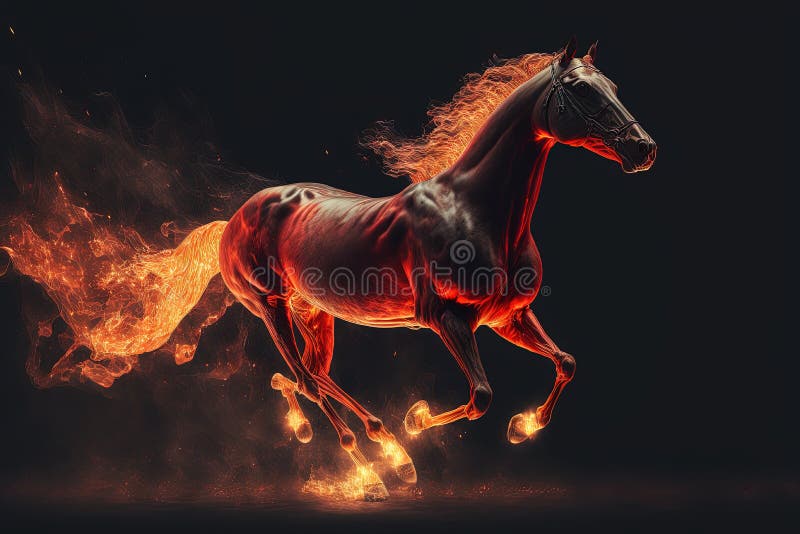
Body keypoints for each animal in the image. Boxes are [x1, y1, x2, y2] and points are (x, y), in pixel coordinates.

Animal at [216, 37, 656, 499]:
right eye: (581, 88)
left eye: (613, 86)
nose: (644, 148)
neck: (472, 211)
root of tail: (230, 223)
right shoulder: (446, 316)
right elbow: (481, 396)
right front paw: (417, 418)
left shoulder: (508, 316)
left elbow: (566, 363)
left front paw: (522, 426)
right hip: (270, 306)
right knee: (307, 381)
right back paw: (375, 473)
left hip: (314, 312)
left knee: (311, 374)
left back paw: (389, 449)